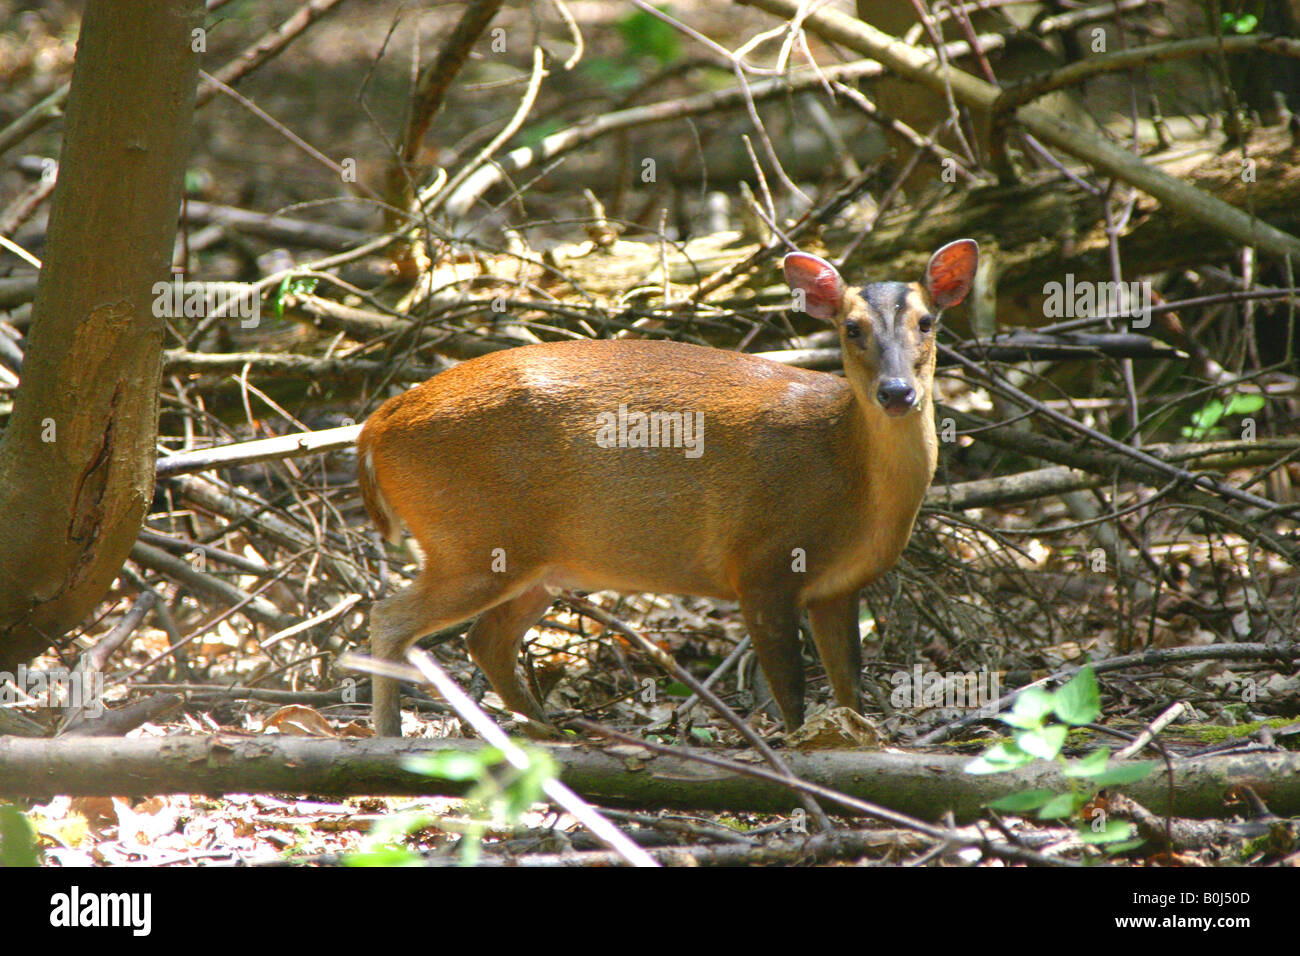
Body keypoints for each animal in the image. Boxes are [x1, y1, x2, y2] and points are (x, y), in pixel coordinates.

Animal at [357, 239, 978, 737]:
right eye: (852, 329)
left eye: (927, 323)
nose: (896, 392)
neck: (851, 478)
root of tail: (377, 425)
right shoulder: (761, 563)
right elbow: (791, 693)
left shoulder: (839, 587)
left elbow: (847, 683)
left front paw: (862, 740)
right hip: (472, 539)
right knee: (390, 618)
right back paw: (388, 735)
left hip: (541, 561)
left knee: (485, 639)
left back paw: (548, 731)